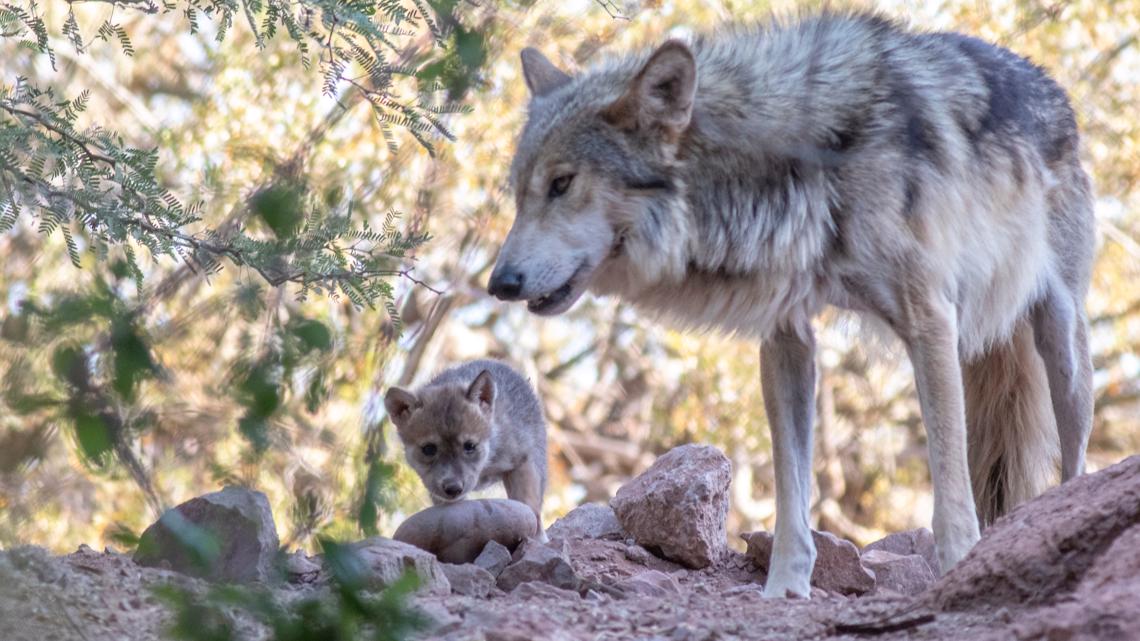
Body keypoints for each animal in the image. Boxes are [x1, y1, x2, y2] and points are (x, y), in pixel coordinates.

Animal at [487, 11, 1095, 598]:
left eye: (562, 183)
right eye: (518, 192)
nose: (500, 282)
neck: (798, 163)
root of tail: (1051, 86)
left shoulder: (929, 320)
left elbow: (947, 483)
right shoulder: (787, 337)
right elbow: (792, 489)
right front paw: (783, 589)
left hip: (1061, 351)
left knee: (1075, 457)